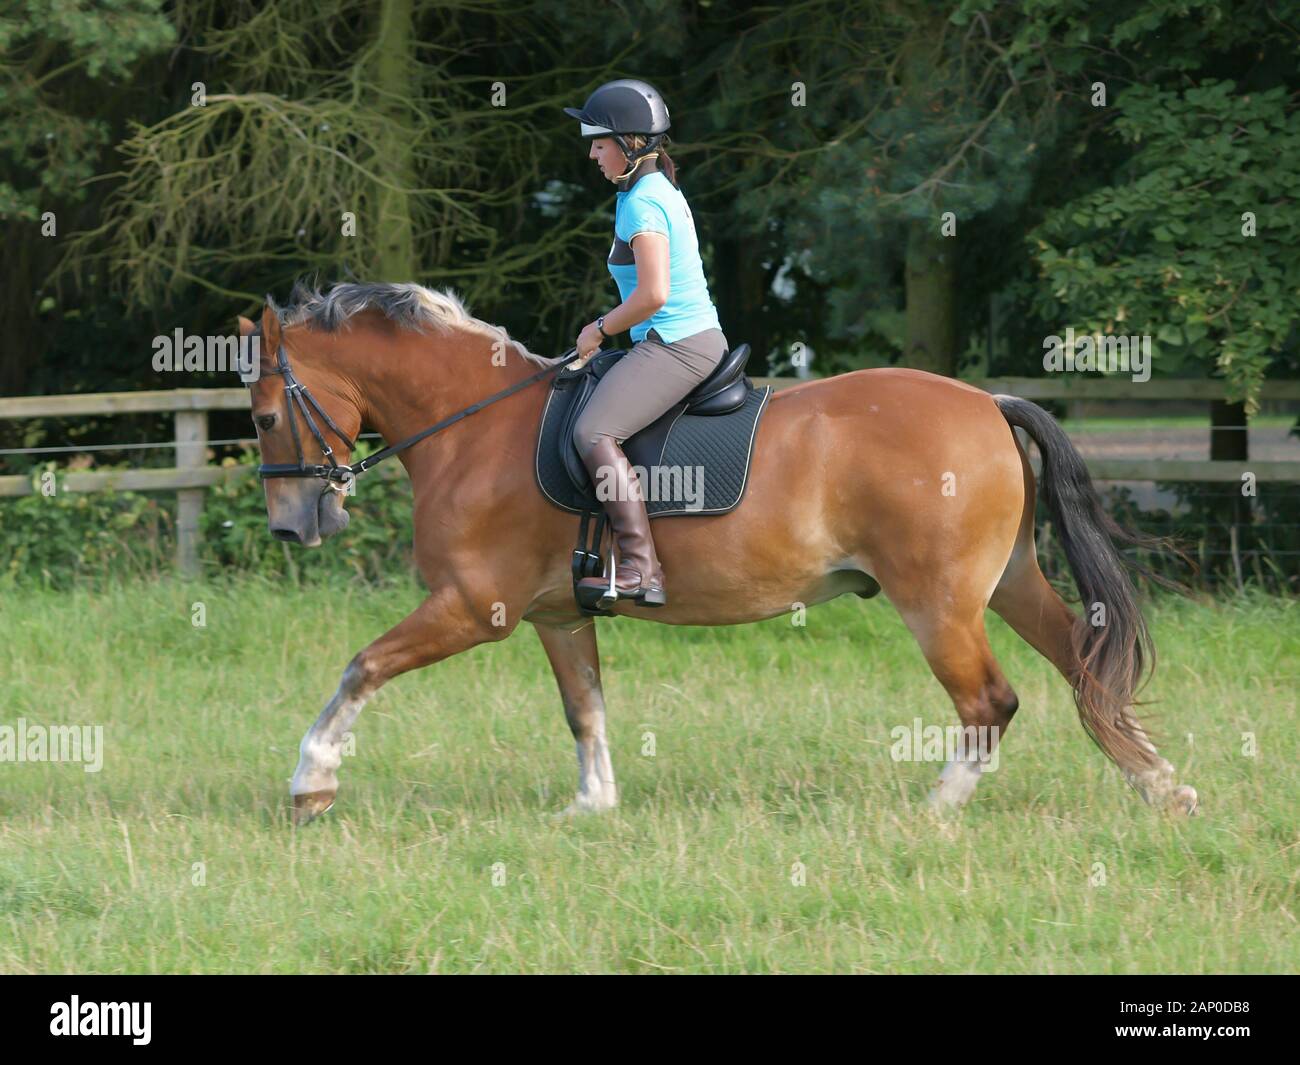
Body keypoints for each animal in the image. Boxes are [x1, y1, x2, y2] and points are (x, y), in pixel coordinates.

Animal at [237, 280, 1197, 825]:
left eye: (262, 413)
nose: (294, 526)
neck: (477, 425)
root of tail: (988, 402)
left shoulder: (475, 606)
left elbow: (361, 668)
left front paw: (310, 782)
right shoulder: (555, 614)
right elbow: (584, 709)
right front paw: (592, 806)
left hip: (940, 603)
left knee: (990, 700)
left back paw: (936, 809)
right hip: (1006, 583)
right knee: (1082, 665)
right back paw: (1163, 788)